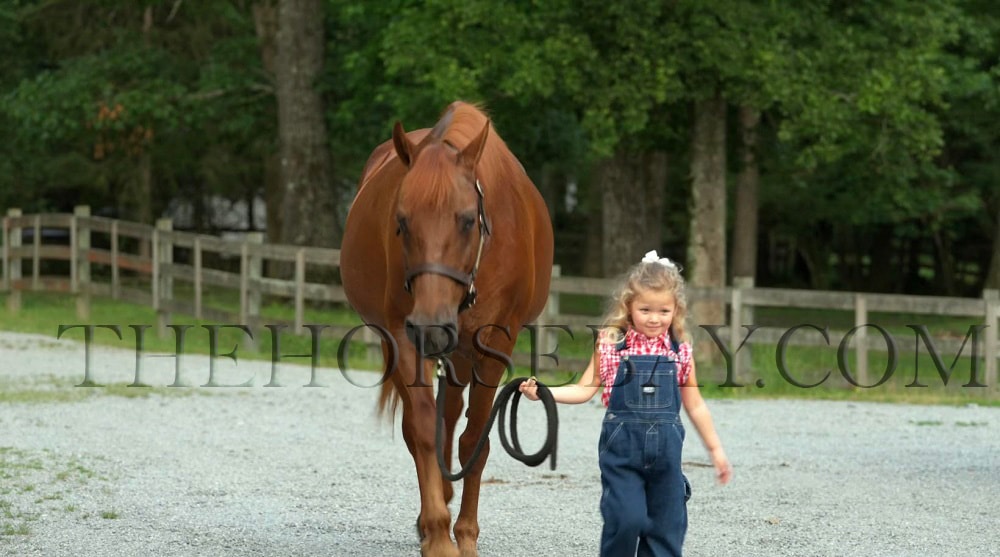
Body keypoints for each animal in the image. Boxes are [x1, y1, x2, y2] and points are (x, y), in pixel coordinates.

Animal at [339, 101, 554, 557]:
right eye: (401, 222)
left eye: (467, 220)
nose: (432, 325)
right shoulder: (403, 338)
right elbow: (422, 428)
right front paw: (438, 534)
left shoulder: (495, 344)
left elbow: (475, 439)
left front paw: (466, 534)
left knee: (453, 414)